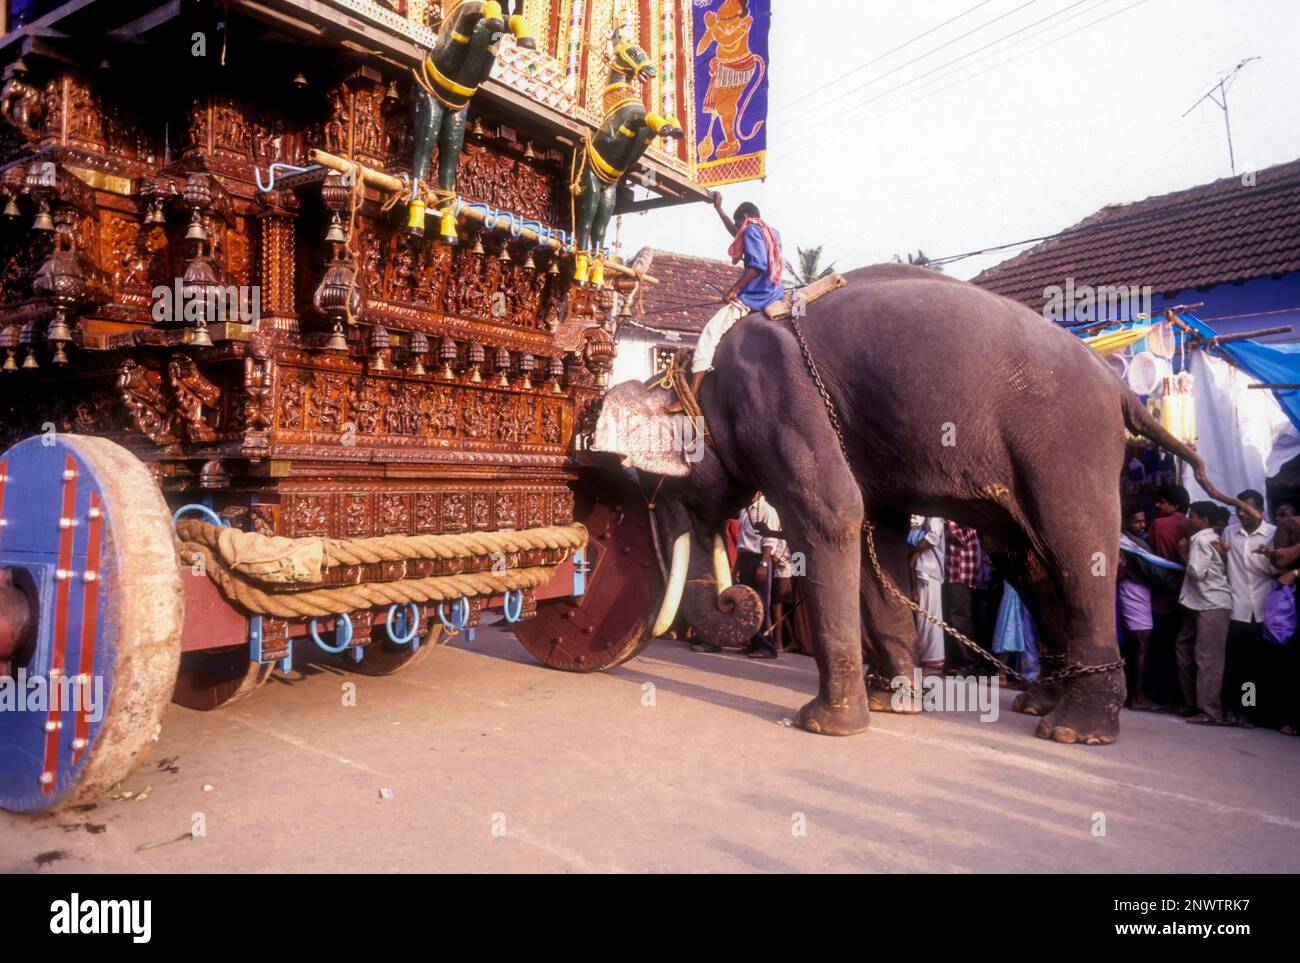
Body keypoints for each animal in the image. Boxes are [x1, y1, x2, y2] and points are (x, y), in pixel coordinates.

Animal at [588, 264, 1244, 746]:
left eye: (660, 492)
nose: (734, 597)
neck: (699, 376)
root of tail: (1119, 389)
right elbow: (873, 530)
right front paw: (891, 703)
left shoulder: (781, 400)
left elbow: (831, 516)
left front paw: (824, 725)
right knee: (1025, 558)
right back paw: (1040, 702)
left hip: (1066, 445)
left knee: (1078, 551)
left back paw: (1073, 732)